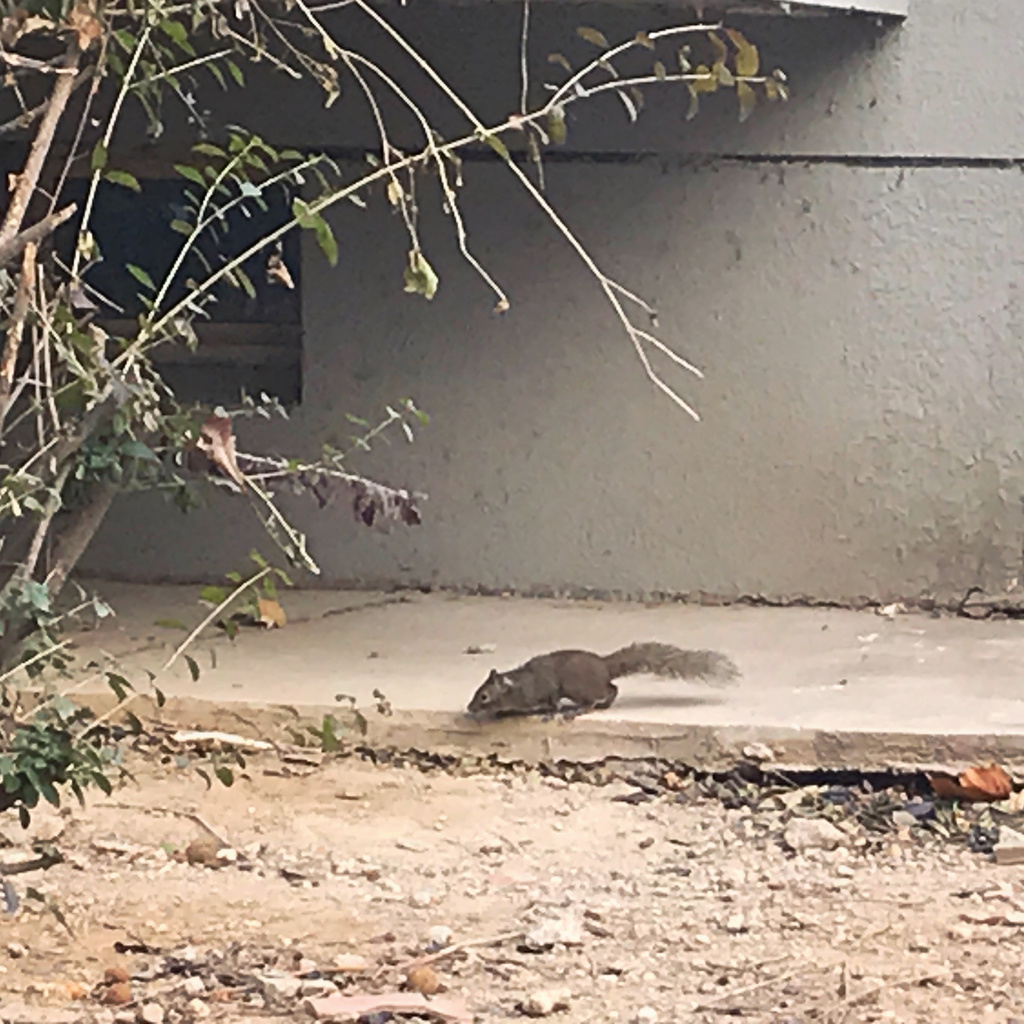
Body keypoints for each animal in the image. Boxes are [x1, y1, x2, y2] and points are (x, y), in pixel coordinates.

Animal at [467, 641, 739, 719]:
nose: (469, 708)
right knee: (612, 688)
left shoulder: (547, 689)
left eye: (484, 696)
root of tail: (604, 666)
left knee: (605, 692)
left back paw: (580, 709)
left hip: (578, 687)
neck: (518, 683)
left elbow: (551, 702)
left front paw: (549, 713)